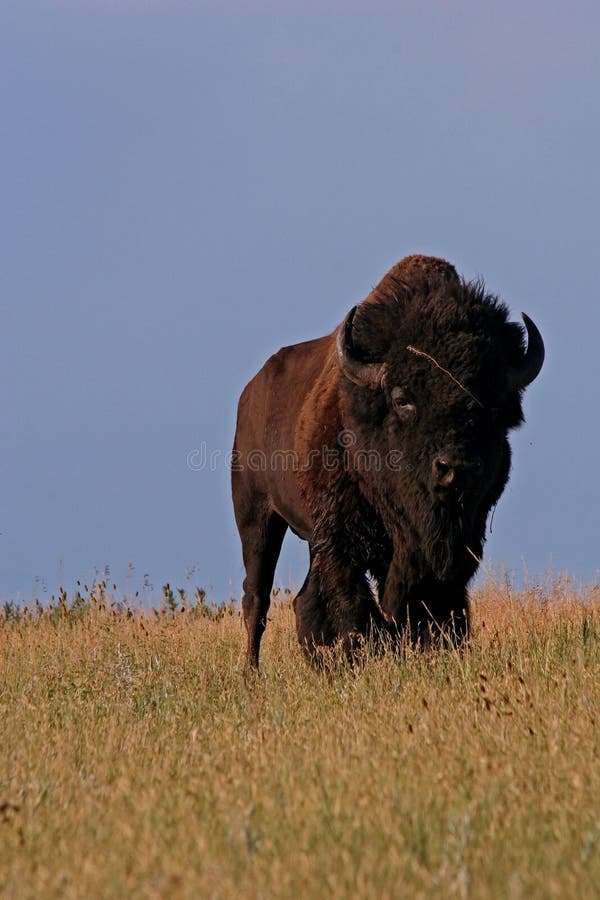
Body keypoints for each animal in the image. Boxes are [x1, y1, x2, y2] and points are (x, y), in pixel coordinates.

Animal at [232, 254, 544, 667]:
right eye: (402, 399)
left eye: (491, 403)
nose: (455, 469)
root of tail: (250, 391)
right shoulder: (340, 541)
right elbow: (352, 602)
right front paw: (360, 654)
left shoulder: (456, 542)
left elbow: (436, 600)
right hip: (257, 517)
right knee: (257, 598)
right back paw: (251, 672)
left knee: (301, 599)